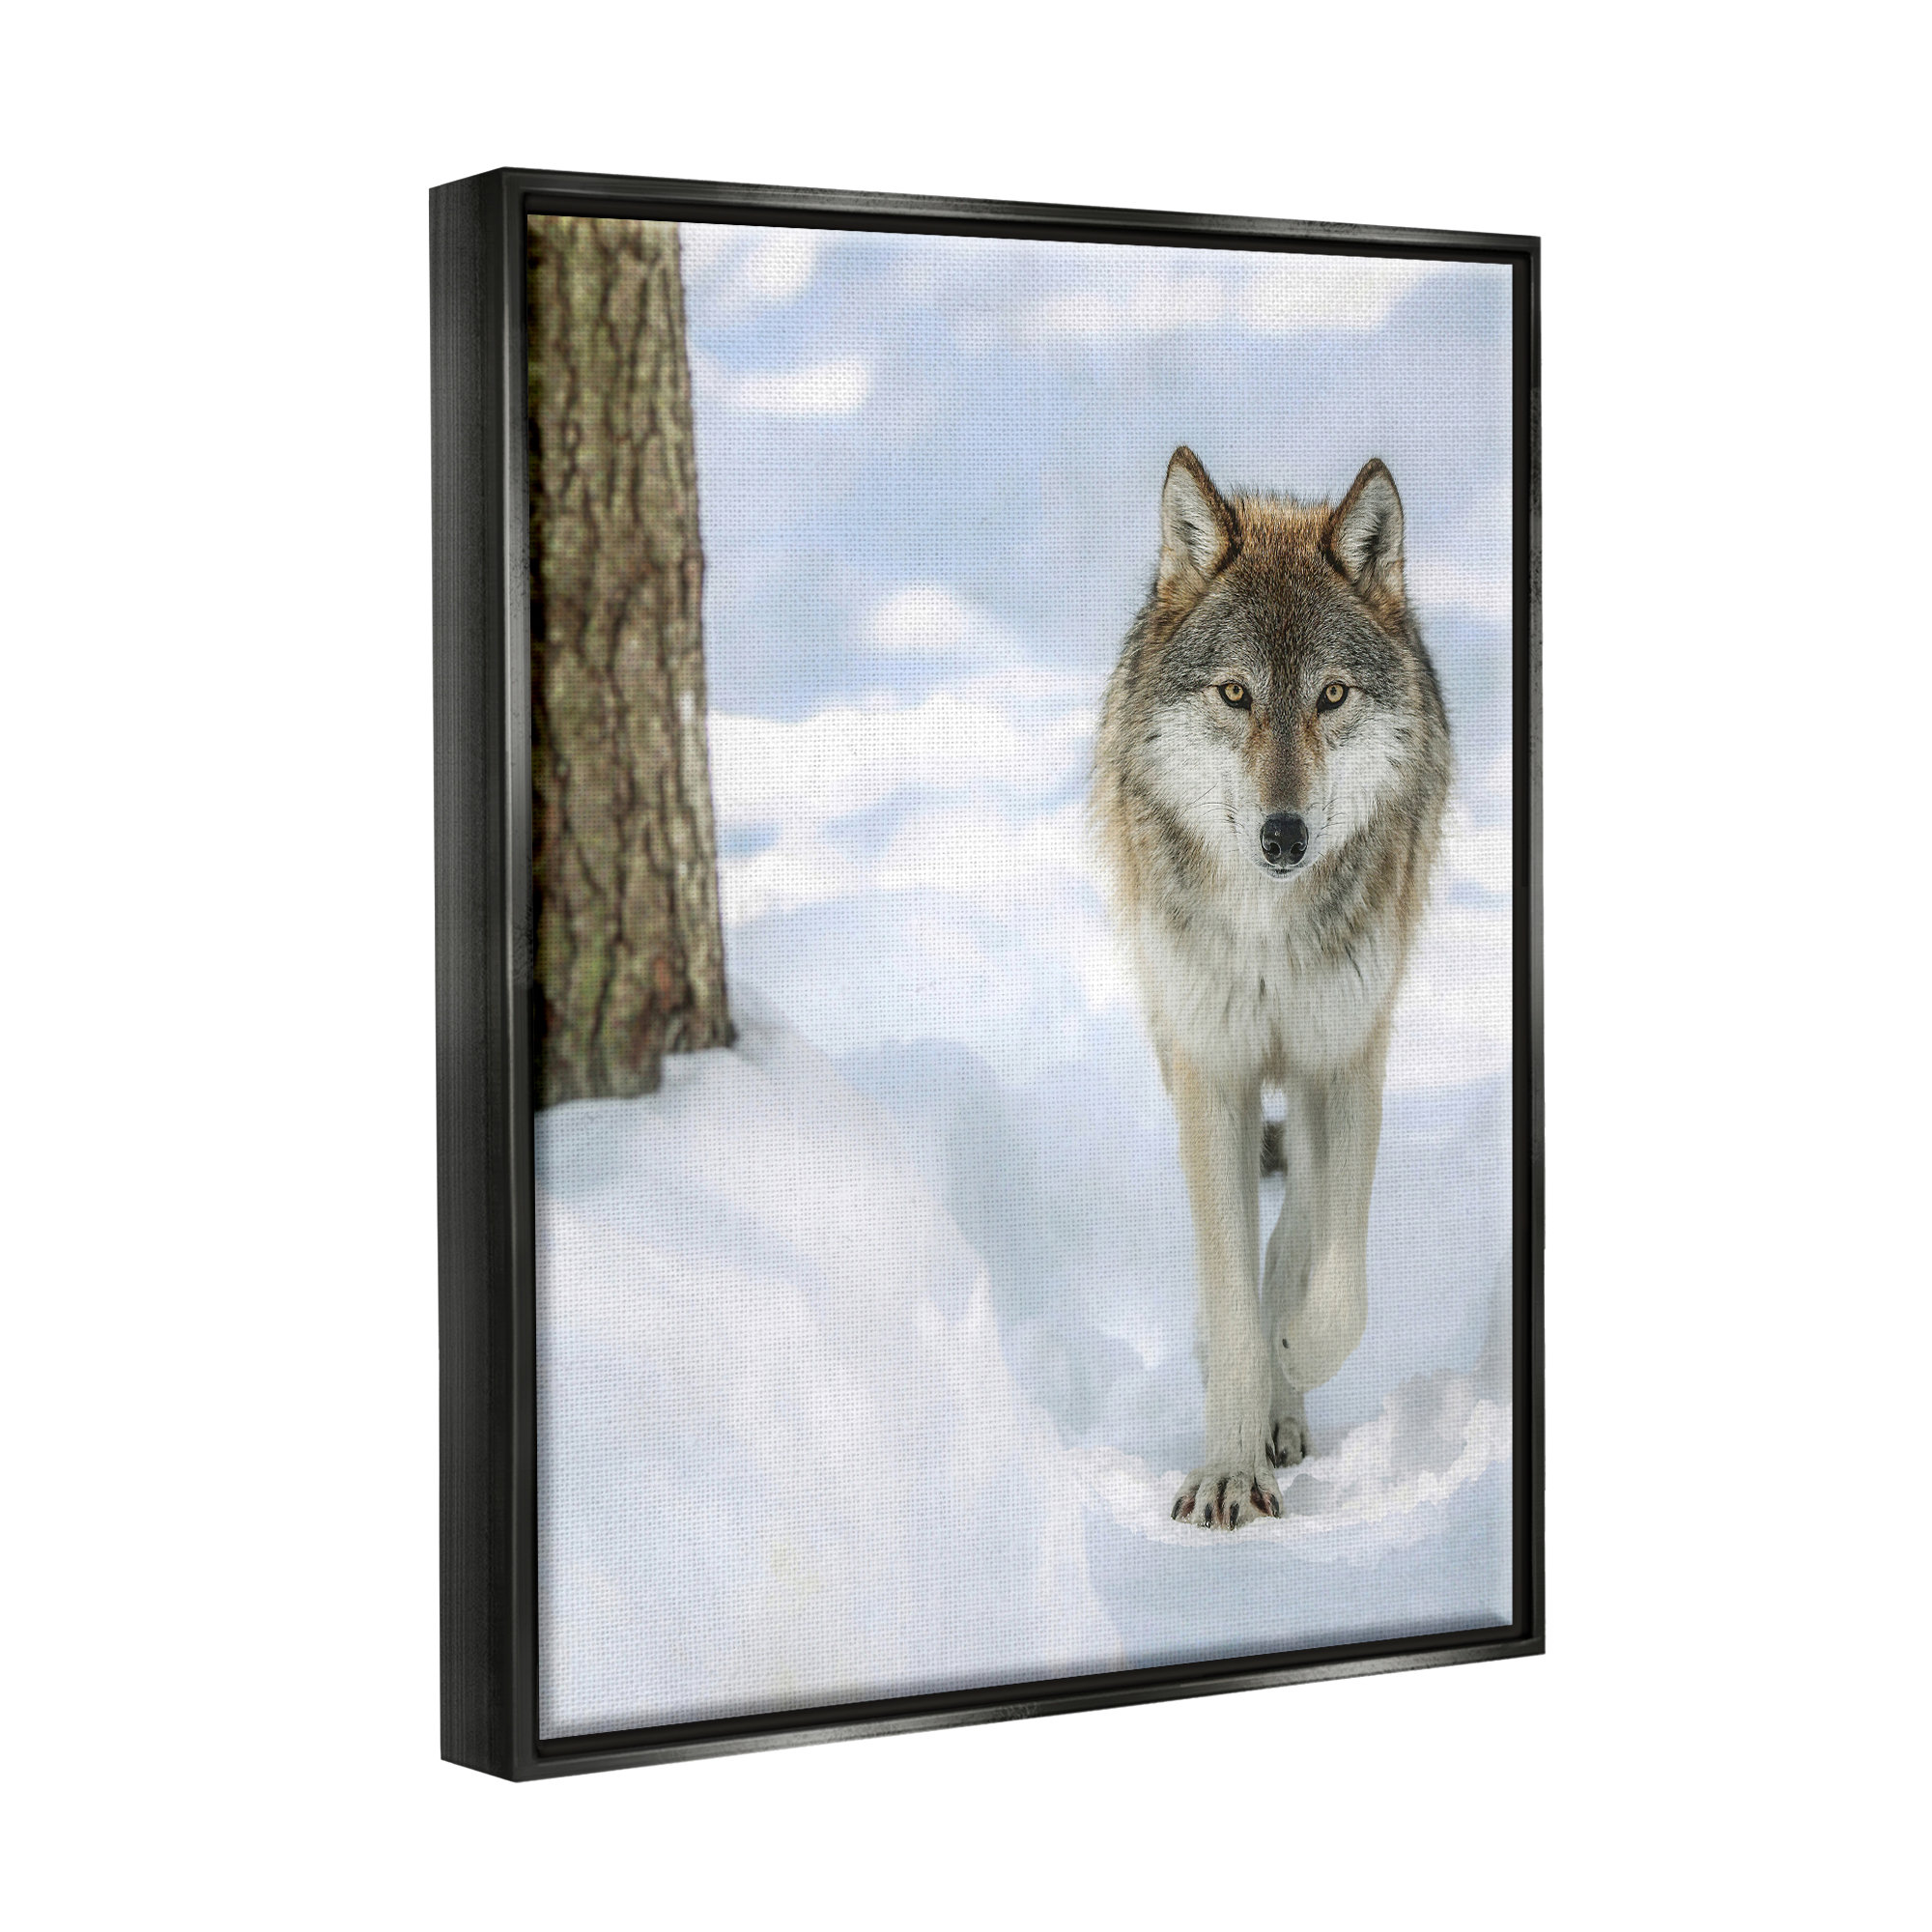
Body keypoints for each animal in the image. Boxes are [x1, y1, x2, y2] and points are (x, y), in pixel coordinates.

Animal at [1092, 446, 1451, 1530]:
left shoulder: (1345, 1054)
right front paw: (1226, 1467)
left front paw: (1294, 1351)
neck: (1268, 931)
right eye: (1235, 694)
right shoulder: (1210, 1068)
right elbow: (1228, 1280)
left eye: (1330, 695)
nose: (1283, 835)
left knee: (1302, 1217)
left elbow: (1335, 1279)